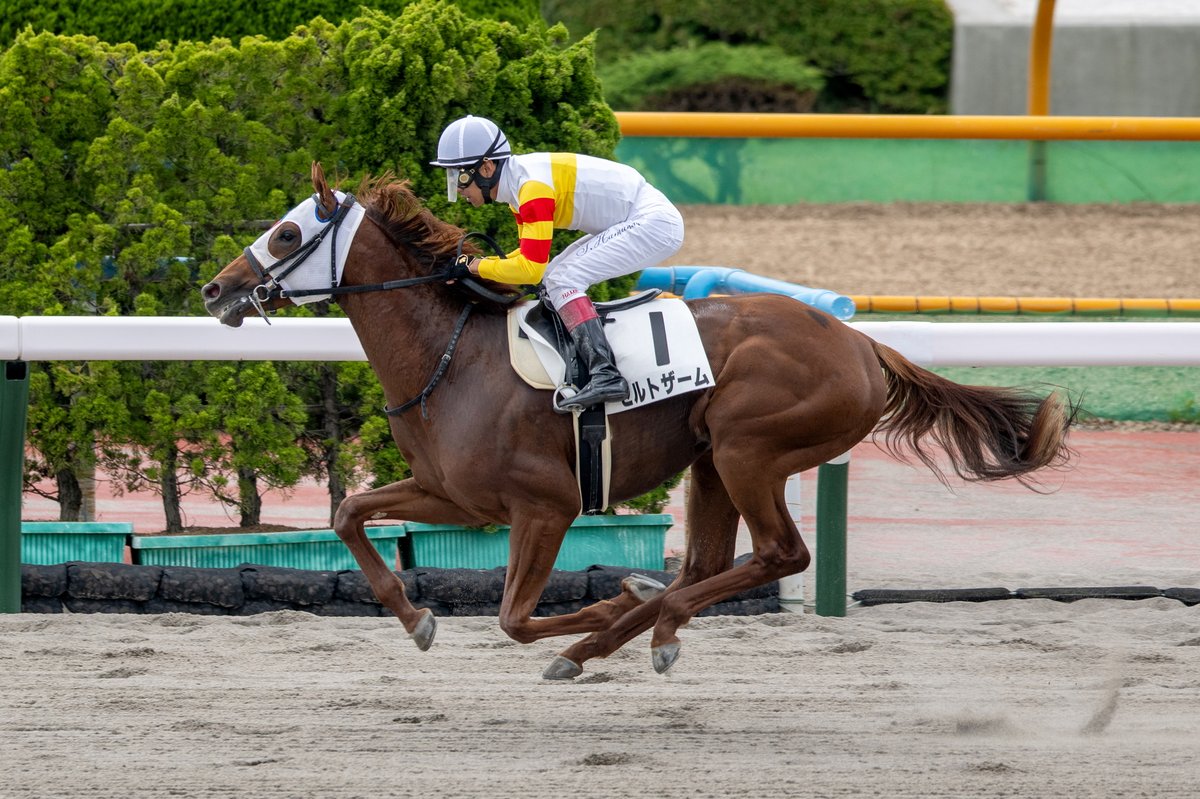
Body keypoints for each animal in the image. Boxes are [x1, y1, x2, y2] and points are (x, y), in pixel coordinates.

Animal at [202, 163, 1074, 679]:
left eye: (286, 231)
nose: (216, 289)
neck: (453, 354)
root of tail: (862, 341)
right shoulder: (452, 493)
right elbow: (350, 511)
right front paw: (417, 617)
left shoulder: (545, 503)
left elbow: (514, 616)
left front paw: (602, 606)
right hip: (713, 461)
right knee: (708, 564)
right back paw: (629, 627)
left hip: (751, 447)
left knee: (779, 554)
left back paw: (633, 628)